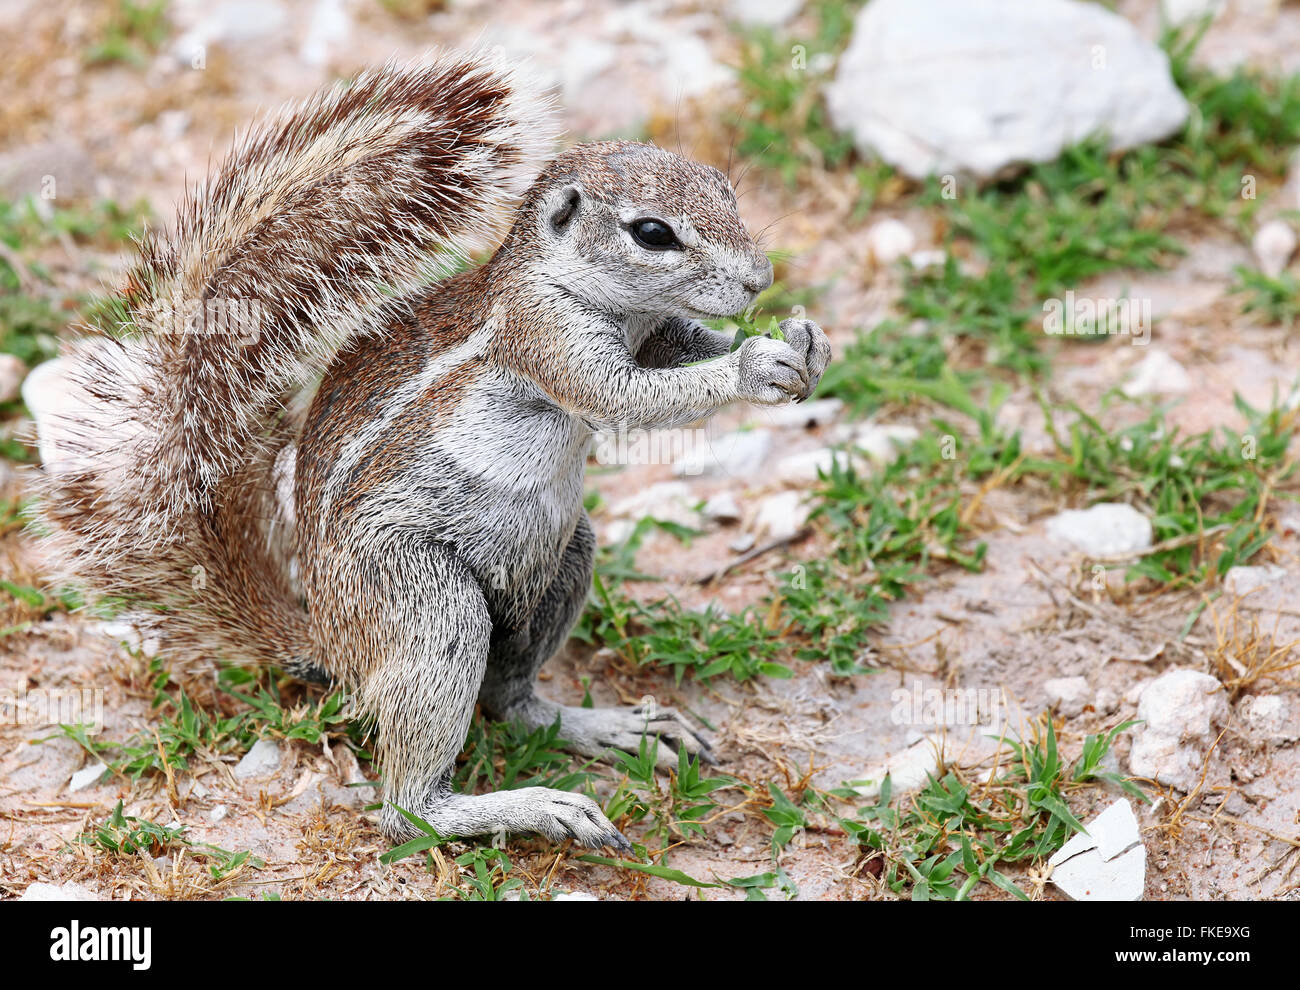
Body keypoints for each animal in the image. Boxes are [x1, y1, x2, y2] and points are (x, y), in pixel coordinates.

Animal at [35, 51, 831, 850]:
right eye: (653, 232)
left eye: (724, 186)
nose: (760, 279)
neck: (587, 290)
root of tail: (334, 648)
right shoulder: (546, 338)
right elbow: (624, 395)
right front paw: (754, 367)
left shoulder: (656, 332)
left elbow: (682, 349)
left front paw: (803, 343)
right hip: (427, 607)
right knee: (406, 807)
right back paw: (530, 808)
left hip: (561, 557)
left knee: (513, 703)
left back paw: (609, 729)